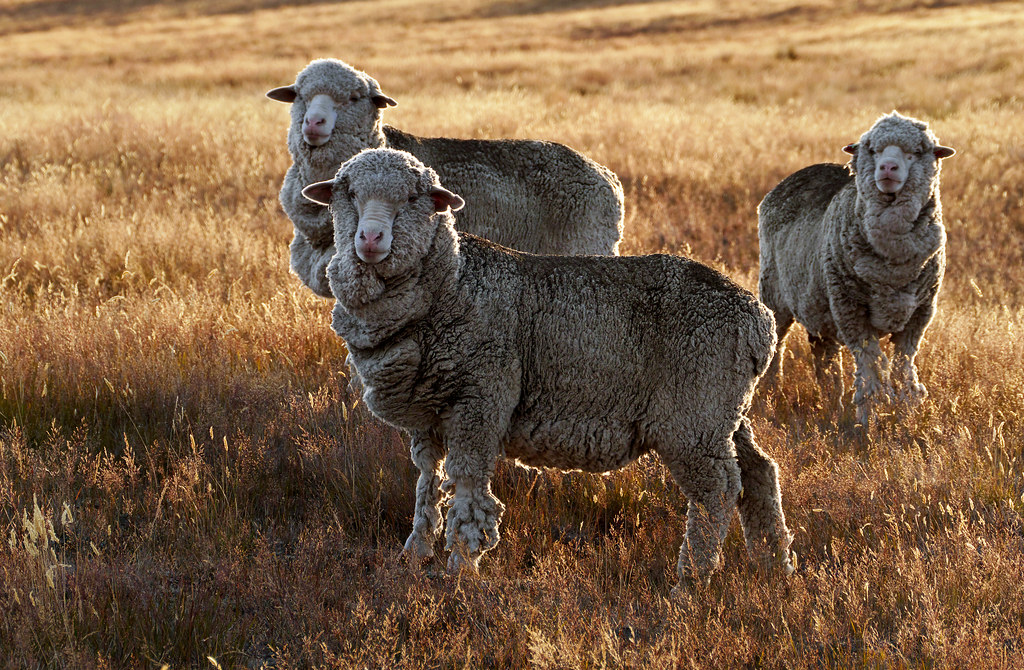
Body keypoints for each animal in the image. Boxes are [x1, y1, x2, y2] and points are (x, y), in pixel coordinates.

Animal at [301, 147, 794, 587]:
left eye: (412, 197)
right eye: (346, 192)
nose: (370, 239)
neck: (453, 282)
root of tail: (757, 319)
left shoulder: (480, 399)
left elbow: (467, 489)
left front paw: (460, 568)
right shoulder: (428, 415)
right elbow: (427, 484)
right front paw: (416, 552)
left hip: (692, 416)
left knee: (718, 491)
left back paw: (691, 579)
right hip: (723, 412)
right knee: (759, 475)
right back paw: (775, 566)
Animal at [757, 111, 955, 424]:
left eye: (916, 152)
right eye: (872, 150)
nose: (888, 167)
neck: (892, 265)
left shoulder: (919, 315)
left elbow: (903, 366)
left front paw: (906, 413)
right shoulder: (852, 312)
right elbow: (871, 368)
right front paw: (870, 417)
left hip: (819, 304)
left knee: (825, 358)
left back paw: (832, 402)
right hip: (776, 295)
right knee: (776, 346)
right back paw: (770, 393)